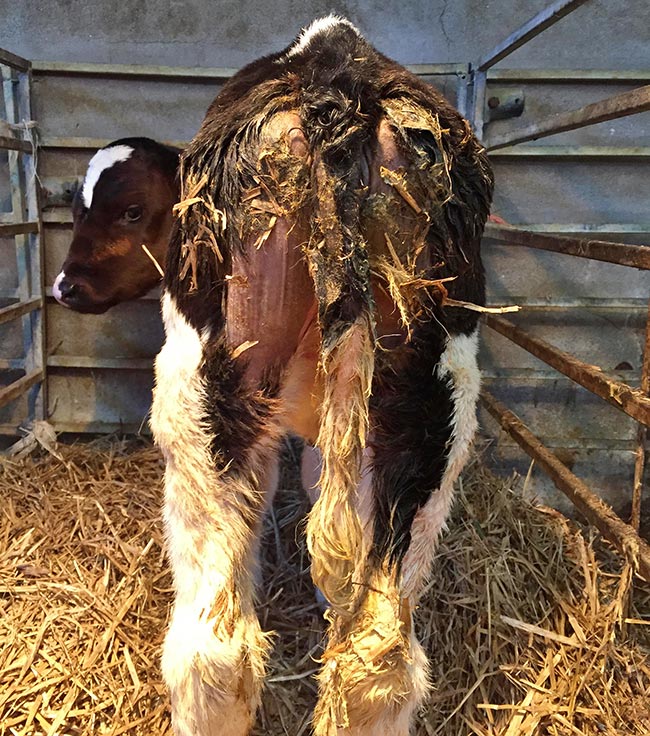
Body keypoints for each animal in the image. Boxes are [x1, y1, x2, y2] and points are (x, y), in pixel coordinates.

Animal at [56, 16, 493, 736]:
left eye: (129, 210)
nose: (64, 286)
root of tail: (336, 72)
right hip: (431, 418)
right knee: (379, 661)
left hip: (198, 406)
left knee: (212, 653)